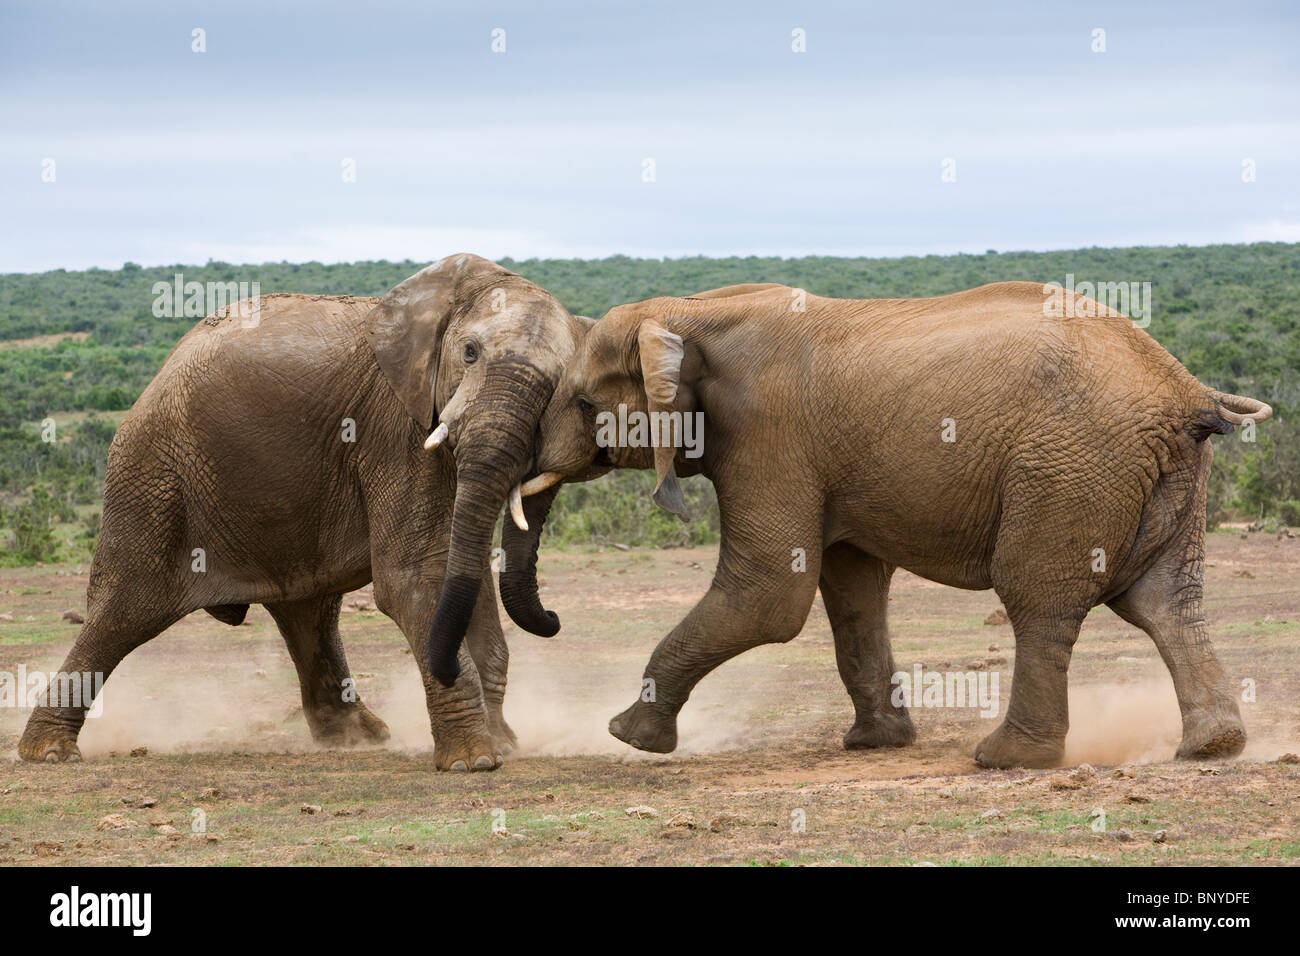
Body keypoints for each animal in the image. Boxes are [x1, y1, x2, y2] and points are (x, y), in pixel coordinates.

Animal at [19, 254, 585, 771]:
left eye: (561, 386)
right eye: (469, 353)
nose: (555, 619)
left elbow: (461, 572)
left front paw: (506, 745)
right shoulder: (395, 429)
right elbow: (414, 578)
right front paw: (476, 761)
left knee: (307, 610)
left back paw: (357, 739)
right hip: (151, 474)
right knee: (123, 610)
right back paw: (47, 752)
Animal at [523, 279, 1274, 769]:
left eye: (583, 402)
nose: (553, 621)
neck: (688, 312)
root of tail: (1186, 387)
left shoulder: (767, 435)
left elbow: (767, 596)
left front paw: (627, 735)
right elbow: (852, 590)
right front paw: (876, 744)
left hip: (1072, 464)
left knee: (1038, 598)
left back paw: (1006, 759)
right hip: (1159, 475)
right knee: (1164, 602)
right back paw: (1211, 747)